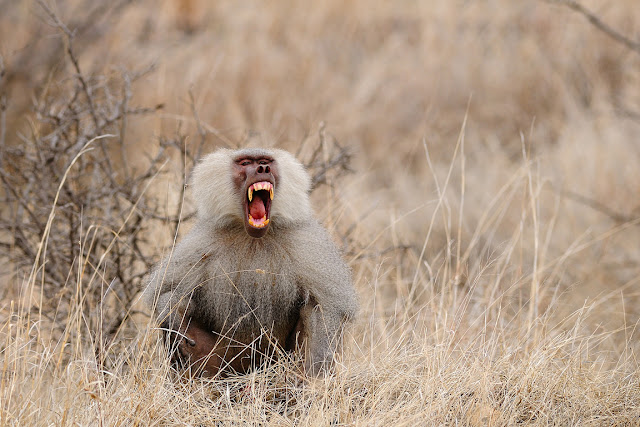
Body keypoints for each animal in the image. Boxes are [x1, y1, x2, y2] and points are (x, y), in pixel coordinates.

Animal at [144, 148, 357, 377]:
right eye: (245, 163)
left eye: (265, 162)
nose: (262, 168)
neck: (255, 239)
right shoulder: (203, 244)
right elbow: (167, 291)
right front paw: (172, 321)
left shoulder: (307, 245)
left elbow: (326, 306)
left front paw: (316, 372)